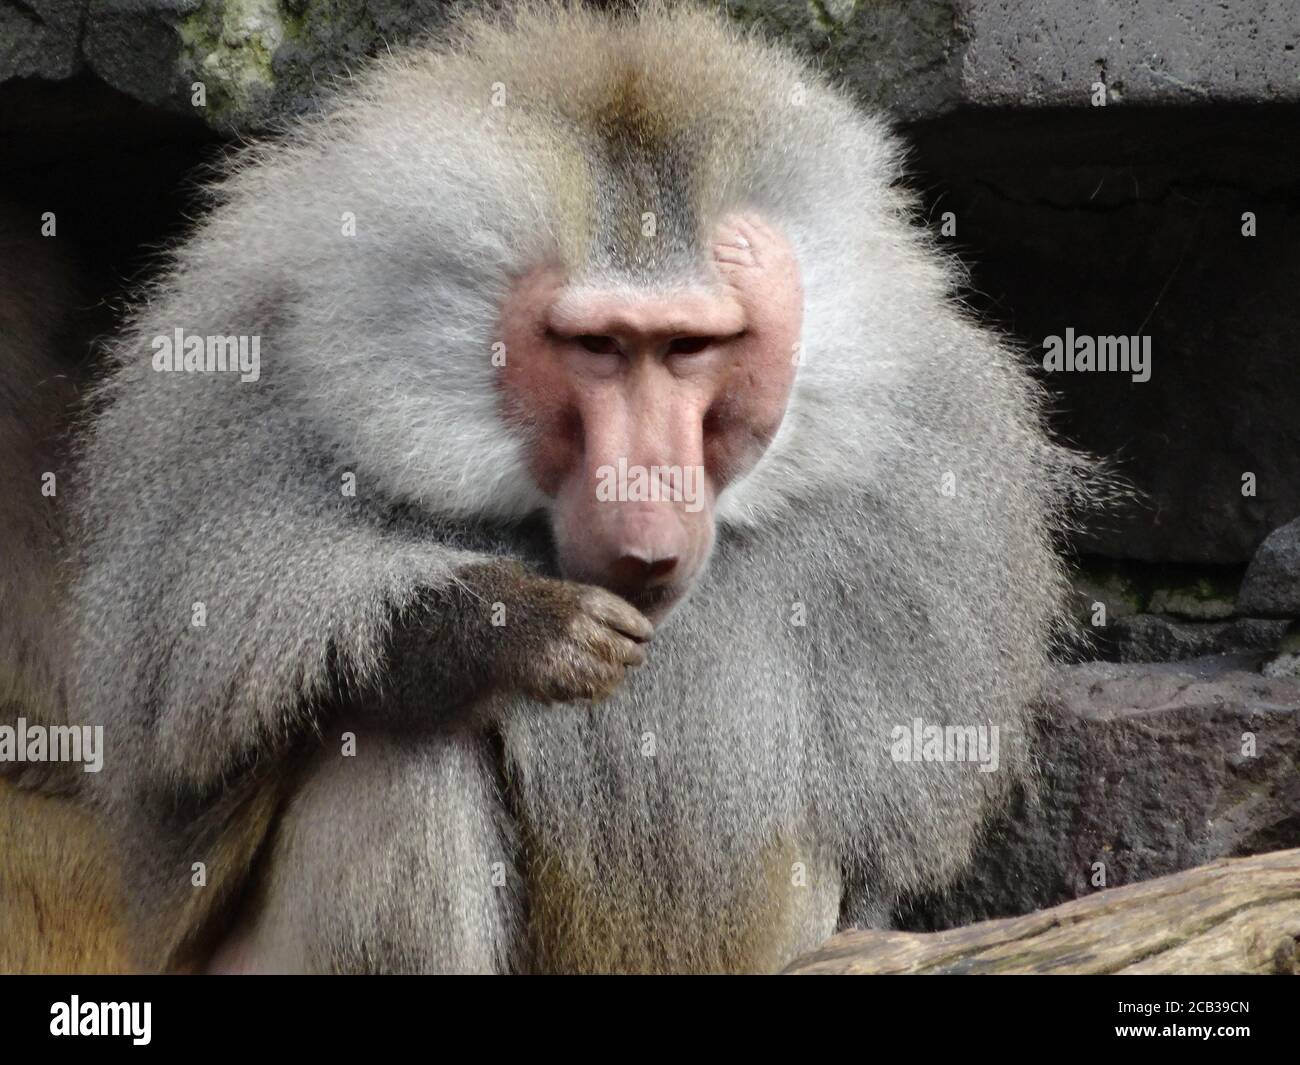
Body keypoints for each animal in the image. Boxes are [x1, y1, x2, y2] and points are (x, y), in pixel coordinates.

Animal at [69, 1, 1089, 974]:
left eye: (690, 346)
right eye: (598, 346)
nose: (647, 522)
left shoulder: (932, 477)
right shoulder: (246, 392)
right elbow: (200, 736)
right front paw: (499, 629)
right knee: (399, 749)